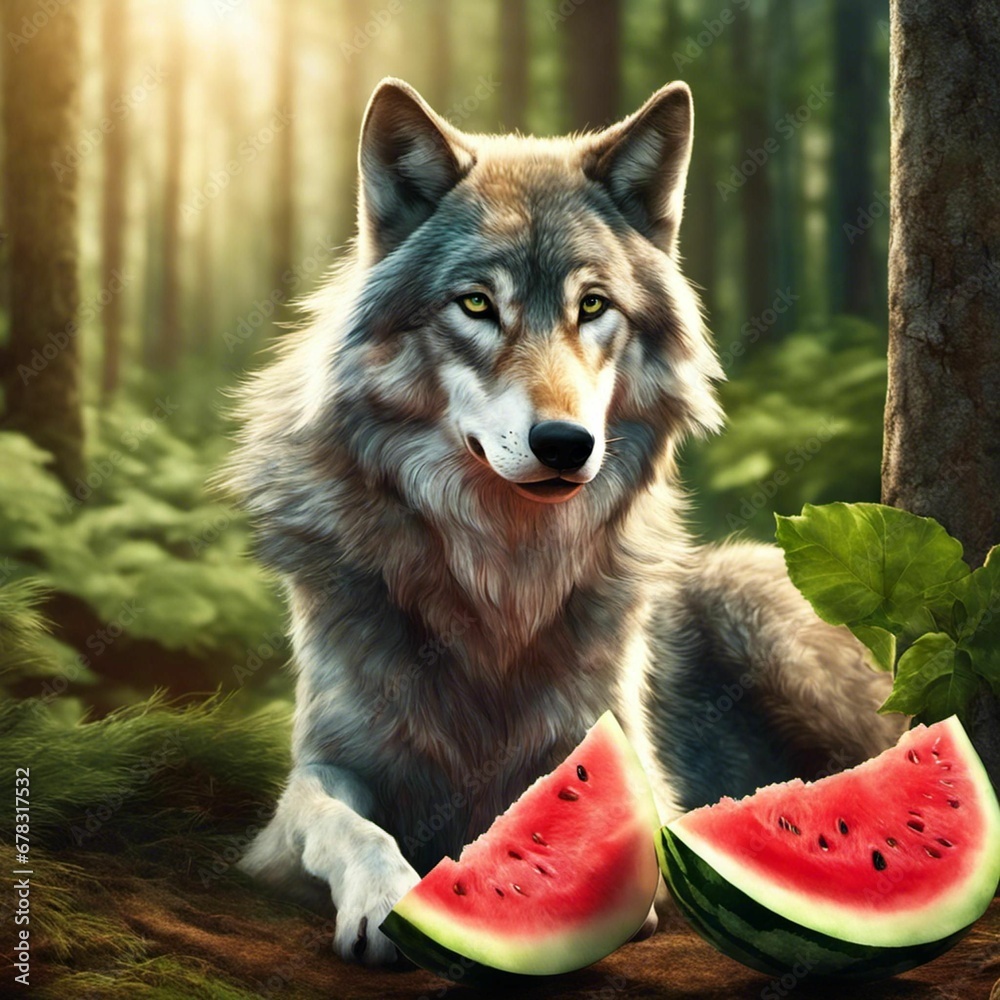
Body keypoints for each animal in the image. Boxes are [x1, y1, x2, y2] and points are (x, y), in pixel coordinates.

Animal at [230, 78, 902, 965]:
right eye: (476, 304)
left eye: (594, 306)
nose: (564, 443)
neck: (503, 580)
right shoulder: (312, 783)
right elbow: (345, 826)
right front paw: (387, 897)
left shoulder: (621, 754)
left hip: (765, 624)